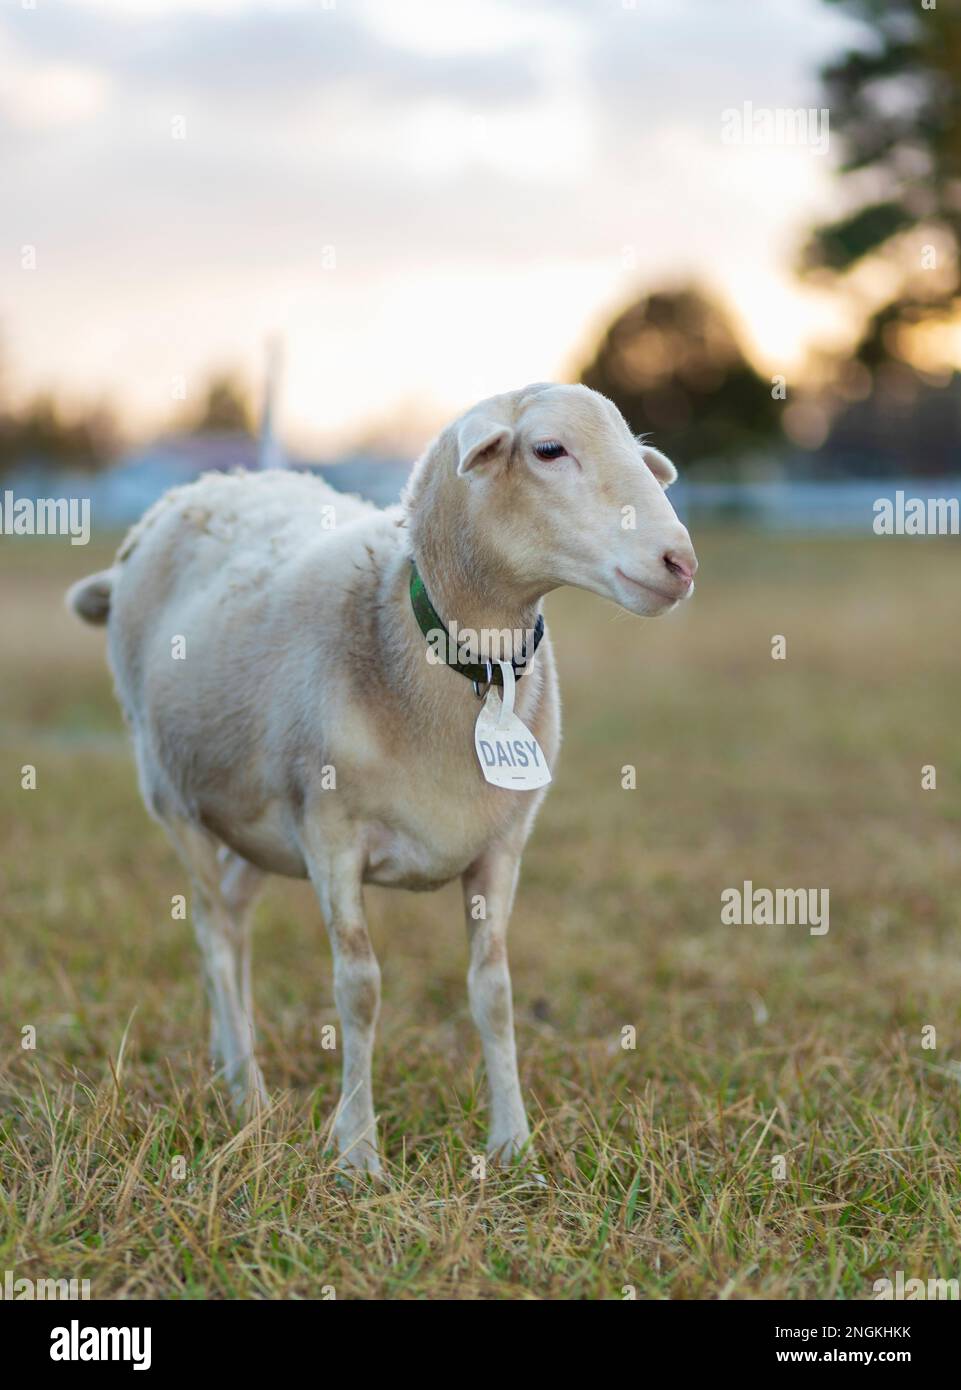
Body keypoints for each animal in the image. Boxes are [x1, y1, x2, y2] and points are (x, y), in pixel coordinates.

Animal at [67, 382, 697, 1175]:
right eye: (549, 449)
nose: (680, 562)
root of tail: (203, 486)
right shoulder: (330, 835)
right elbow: (359, 988)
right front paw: (358, 1151)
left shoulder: (500, 847)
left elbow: (494, 989)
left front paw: (513, 1143)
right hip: (173, 794)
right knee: (211, 931)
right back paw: (250, 1092)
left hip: (258, 820)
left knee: (234, 922)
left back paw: (230, 1065)